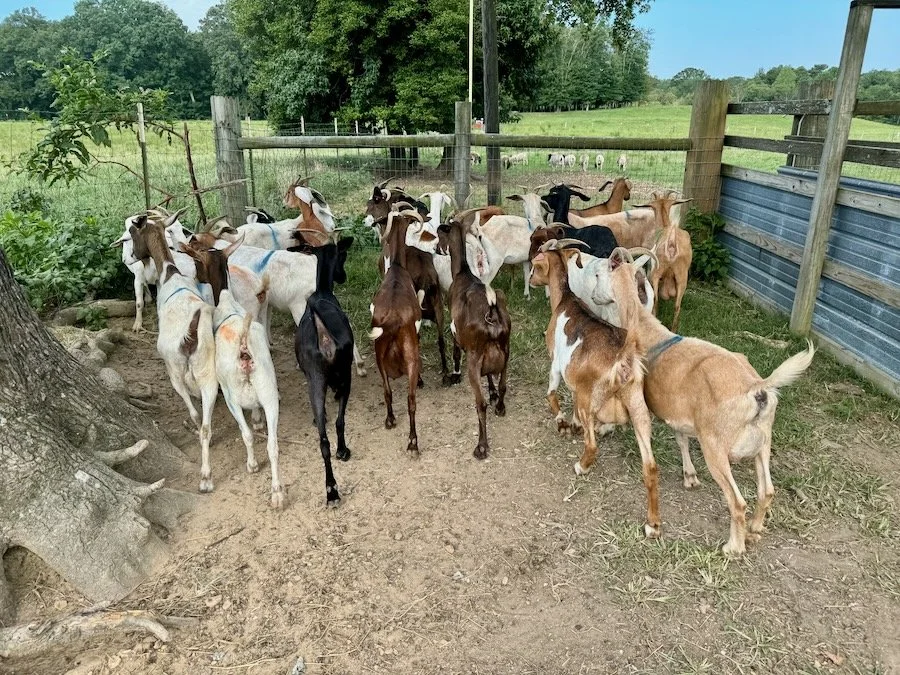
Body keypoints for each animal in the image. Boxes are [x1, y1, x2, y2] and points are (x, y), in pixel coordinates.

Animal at [179, 237, 284, 509]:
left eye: (197, 261)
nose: (195, 277)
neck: (227, 301)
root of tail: (243, 347)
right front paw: (257, 419)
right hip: (269, 393)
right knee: (273, 444)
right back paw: (276, 493)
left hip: (230, 397)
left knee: (245, 434)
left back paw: (251, 465)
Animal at [440, 216, 511, 458]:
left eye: (441, 231)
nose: (436, 248)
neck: (463, 272)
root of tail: (492, 313)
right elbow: (490, 378)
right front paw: (492, 391)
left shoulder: (456, 332)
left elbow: (454, 351)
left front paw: (453, 375)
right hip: (505, 352)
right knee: (503, 385)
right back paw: (500, 406)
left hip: (474, 358)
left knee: (480, 404)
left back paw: (481, 446)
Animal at [529, 241, 661, 538]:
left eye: (534, 265)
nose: (530, 280)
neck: (566, 299)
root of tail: (623, 360)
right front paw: (570, 424)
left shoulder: (557, 363)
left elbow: (551, 393)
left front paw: (562, 423)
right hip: (638, 408)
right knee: (650, 466)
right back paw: (653, 524)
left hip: (587, 398)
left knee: (592, 445)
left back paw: (581, 465)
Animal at [597, 248, 815, 554]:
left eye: (601, 274)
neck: (643, 326)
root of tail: (757, 389)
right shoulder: (679, 414)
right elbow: (681, 440)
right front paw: (690, 477)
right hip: (763, 445)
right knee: (767, 490)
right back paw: (755, 529)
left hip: (716, 449)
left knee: (737, 502)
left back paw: (734, 547)